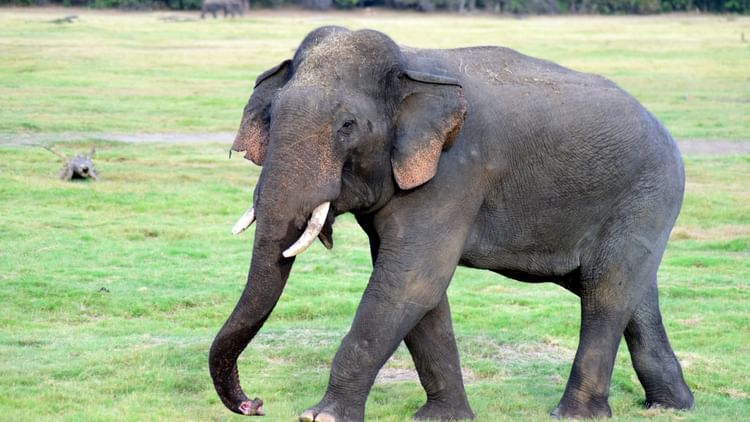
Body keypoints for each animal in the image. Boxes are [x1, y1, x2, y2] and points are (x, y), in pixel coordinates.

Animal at [209, 26, 694, 421]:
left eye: (347, 125)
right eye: (271, 116)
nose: (254, 404)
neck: (410, 64)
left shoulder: (455, 172)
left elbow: (409, 281)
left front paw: (320, 417)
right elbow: (420, 291)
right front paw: (444, 418)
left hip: (648, 193)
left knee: (605, 293)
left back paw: (575, 415)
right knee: (632, 293)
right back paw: (671, 406)